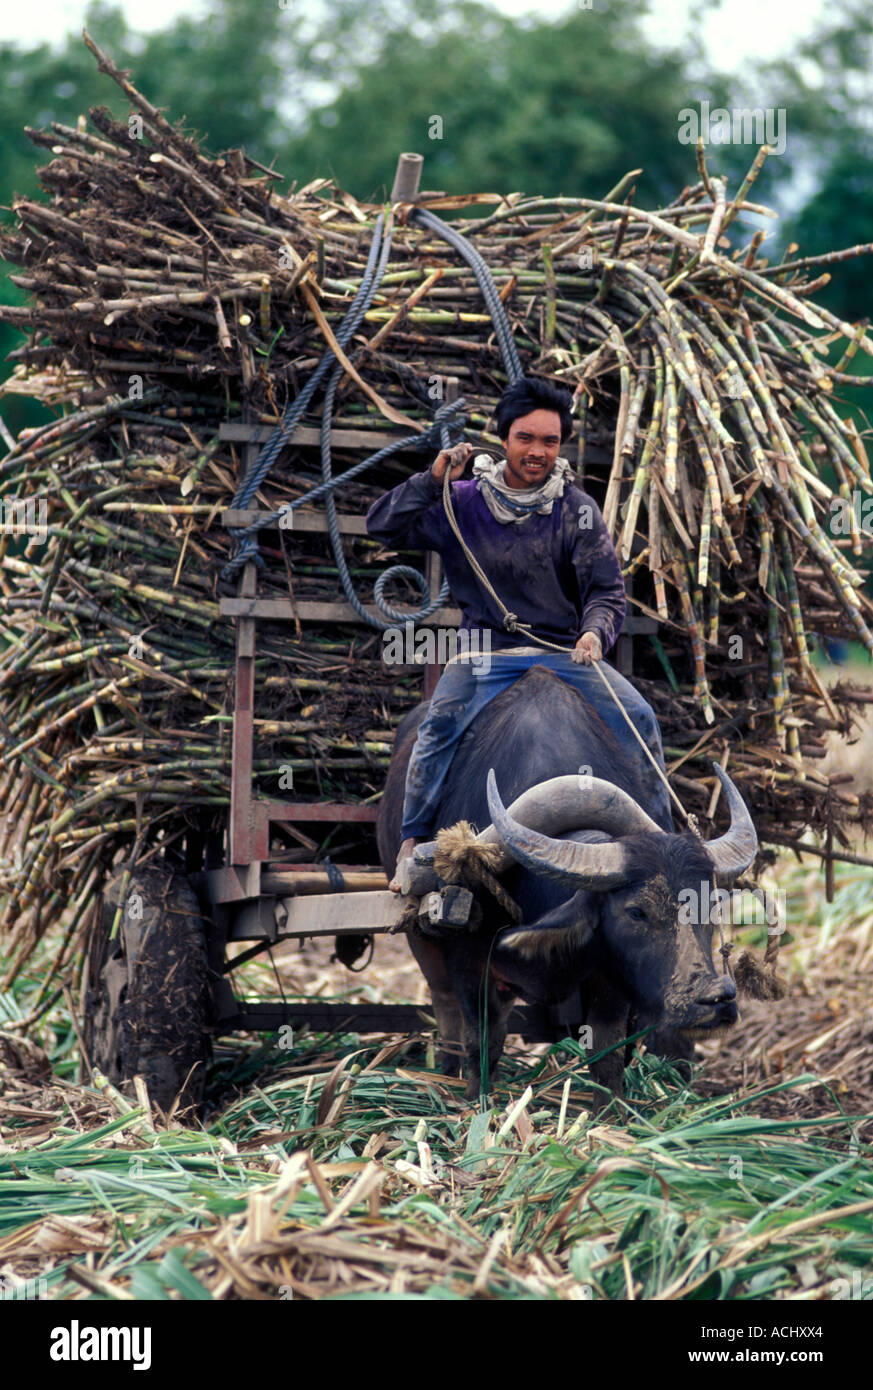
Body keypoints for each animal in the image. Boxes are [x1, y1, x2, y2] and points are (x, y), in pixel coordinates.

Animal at [377, 664, 757, 1105]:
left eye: (710, 907)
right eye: (636, 911)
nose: (716, 999)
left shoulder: (611, 979)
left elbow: (608, 1053)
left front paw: (610, 1112)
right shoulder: (469, 964)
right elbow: (481, 1043)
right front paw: (477, 1103)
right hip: (421, 938)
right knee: (445, 1010)